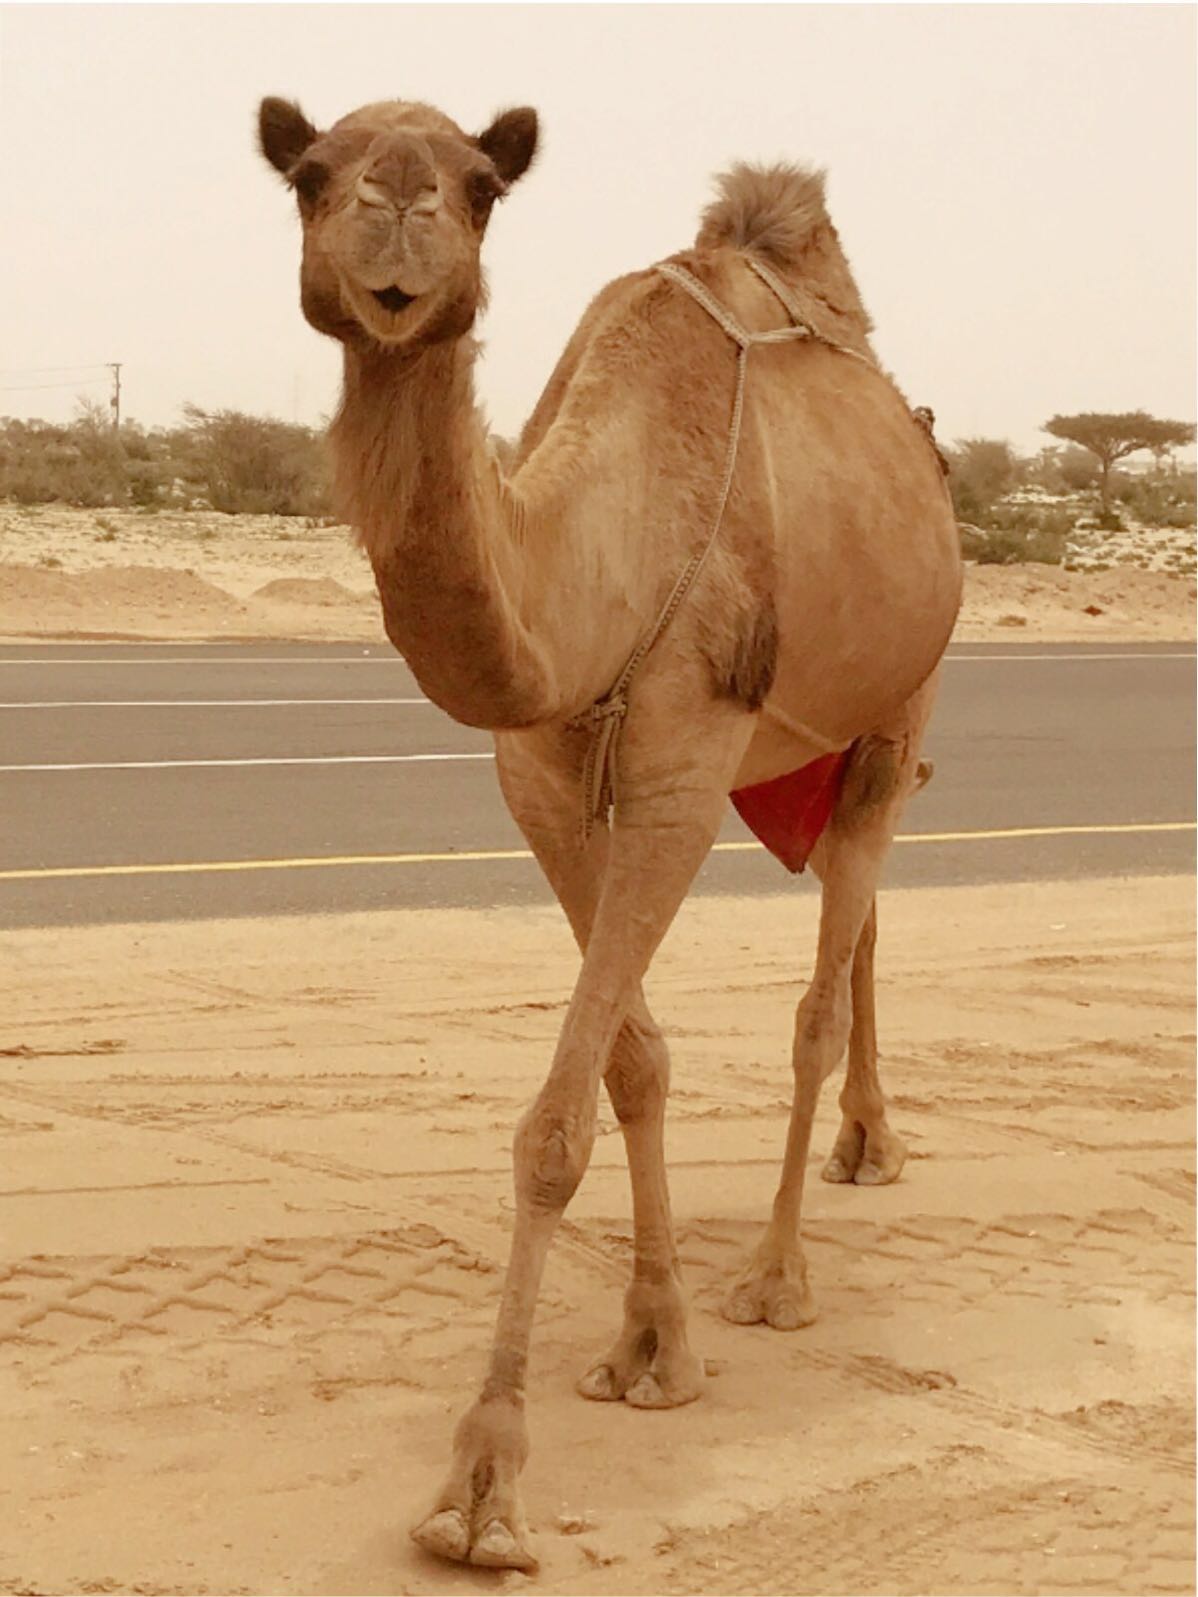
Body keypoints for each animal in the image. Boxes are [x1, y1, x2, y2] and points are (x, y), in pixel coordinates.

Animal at [257, 94, 962, 1573]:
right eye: (308, 172)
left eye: (478, 182)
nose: (394, 220)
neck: (597, 560)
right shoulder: (539, 784)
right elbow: (632, 1062)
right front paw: (648, 1338)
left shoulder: (680, 776)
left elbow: (554, 1123)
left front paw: (483, 1487)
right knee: (862, 912)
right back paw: (867, 1145)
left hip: (901, 697)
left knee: (825, 977)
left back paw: (778, 1272)